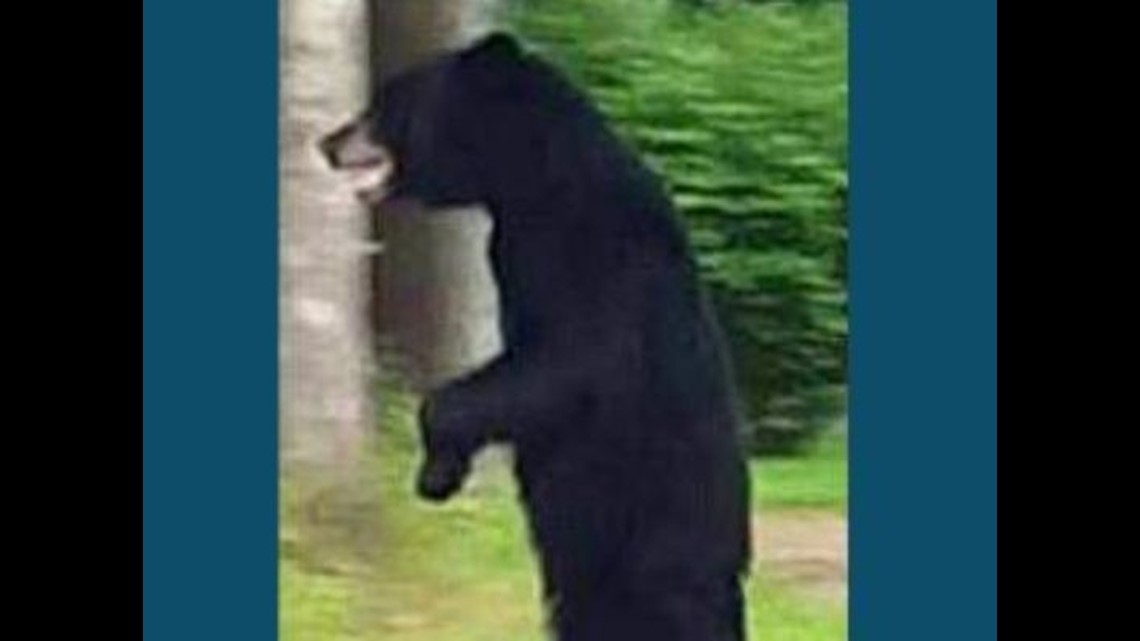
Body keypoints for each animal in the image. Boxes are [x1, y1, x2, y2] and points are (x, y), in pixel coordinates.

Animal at [320, 33, 753, 641]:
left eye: (385, 104)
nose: (327, 142)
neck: (534, 178)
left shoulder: (590, 253)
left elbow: (569, 362)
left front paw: (437, 471)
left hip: (651, 549)